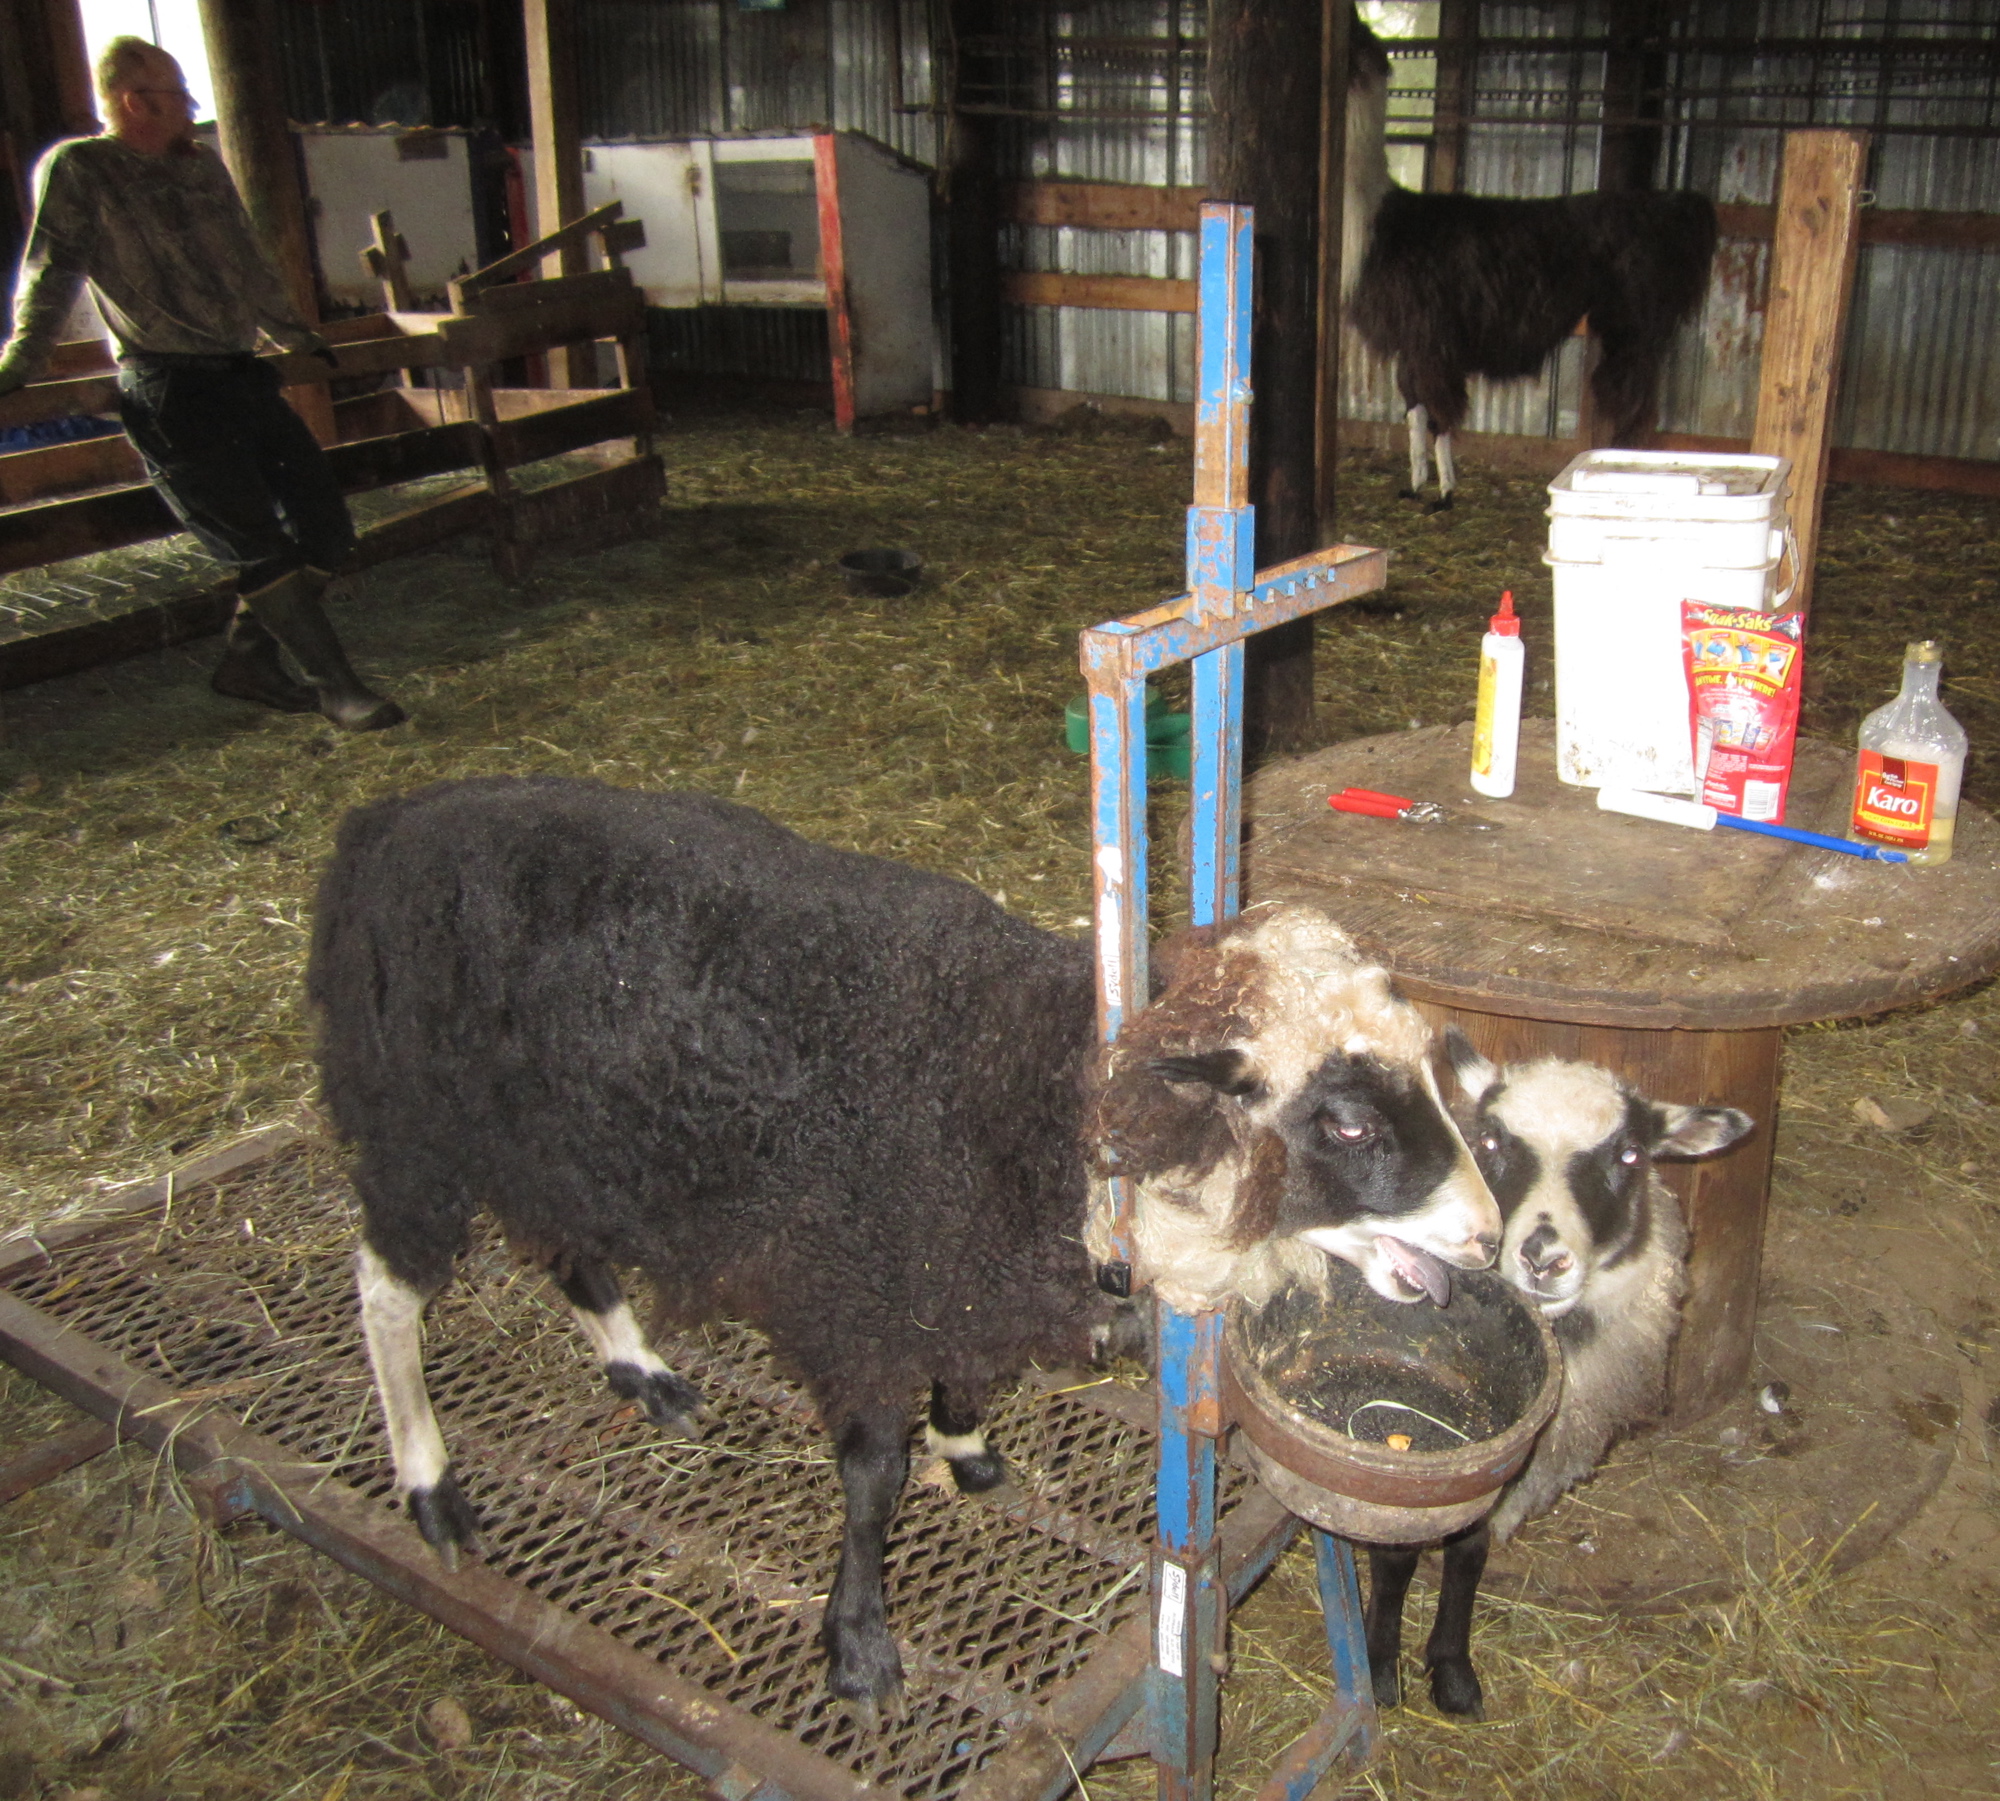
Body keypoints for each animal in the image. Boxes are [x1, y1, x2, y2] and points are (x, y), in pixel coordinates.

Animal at [306, 776, 1501, 1726]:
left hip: (563, 1140)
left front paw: (963, 1446)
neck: (1027, 1091)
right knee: (384, 1288)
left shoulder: (947, 1271)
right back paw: (429, 1482)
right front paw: (858, 1642)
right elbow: (872, 1473)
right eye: (1347, 1122)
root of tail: (391, 820)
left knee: (569, 1251)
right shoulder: (860, 1296)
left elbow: (964, 1372)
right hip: (420, 1125)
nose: (1487, 1236)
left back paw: (640, 1370)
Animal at [1342, 17, 1718, 512]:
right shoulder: (1412, 340)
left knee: (1631, 401)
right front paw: (1415, 483)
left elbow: (1440, 414)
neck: (1378, 224)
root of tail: (1672, 206)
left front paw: (1445, 492)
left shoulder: (1433, 336)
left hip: (1632, 317)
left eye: (1355, 32)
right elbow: (1414, 413)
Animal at [1359, 1038, 1753, 1718]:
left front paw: (1453, 1670)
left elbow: (1469, 1557)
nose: (1543, 1258)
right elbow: (1395, 1561)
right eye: (1490, 1141)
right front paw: (1381, 1667)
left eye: (1630, 1154)